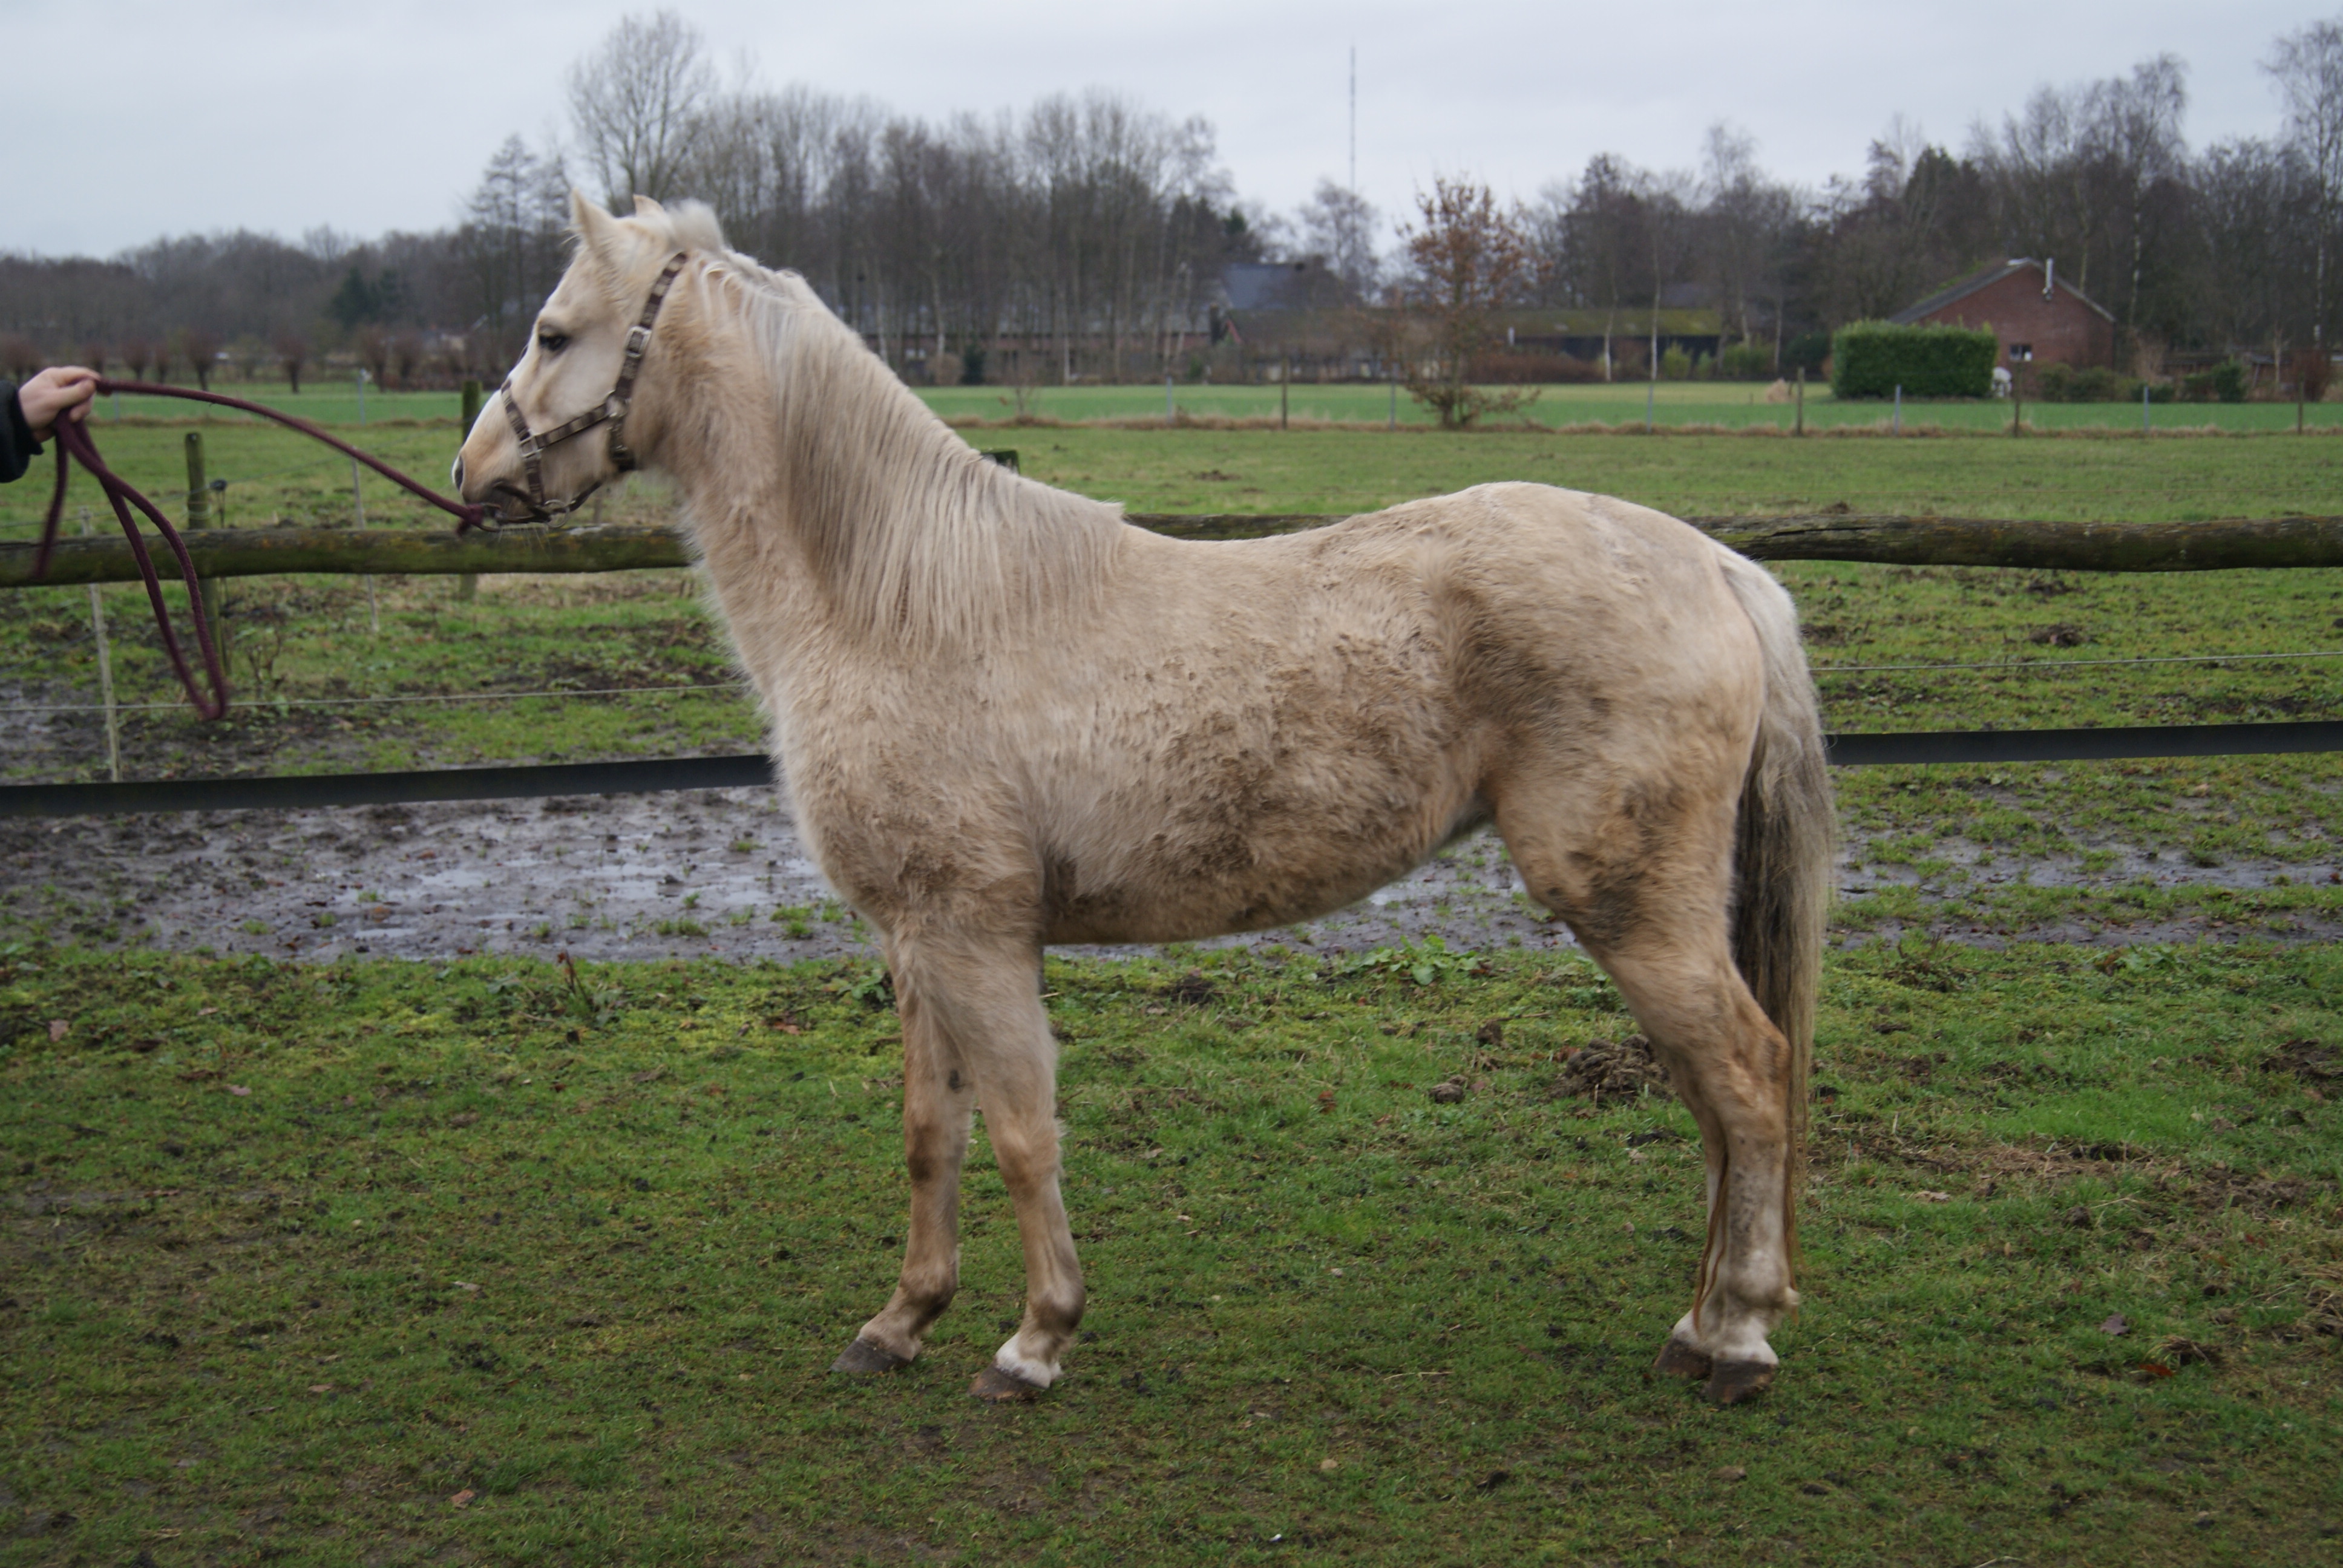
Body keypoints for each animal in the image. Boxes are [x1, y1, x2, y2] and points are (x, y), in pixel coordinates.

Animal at [455, 193, 1835, 1407]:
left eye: (553, 333)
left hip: (1631, 907)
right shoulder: (913, 938)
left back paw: (1738, 1341)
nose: (473, 476)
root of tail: (1717, 568)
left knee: (1751, 1079)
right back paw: (1699, 1324)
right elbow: (931, 1133)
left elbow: (1024, 1134)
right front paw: (899, 1324)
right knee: (1717, 1100)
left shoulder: (975, 934)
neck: (898, 603)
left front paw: (1033, 1343)